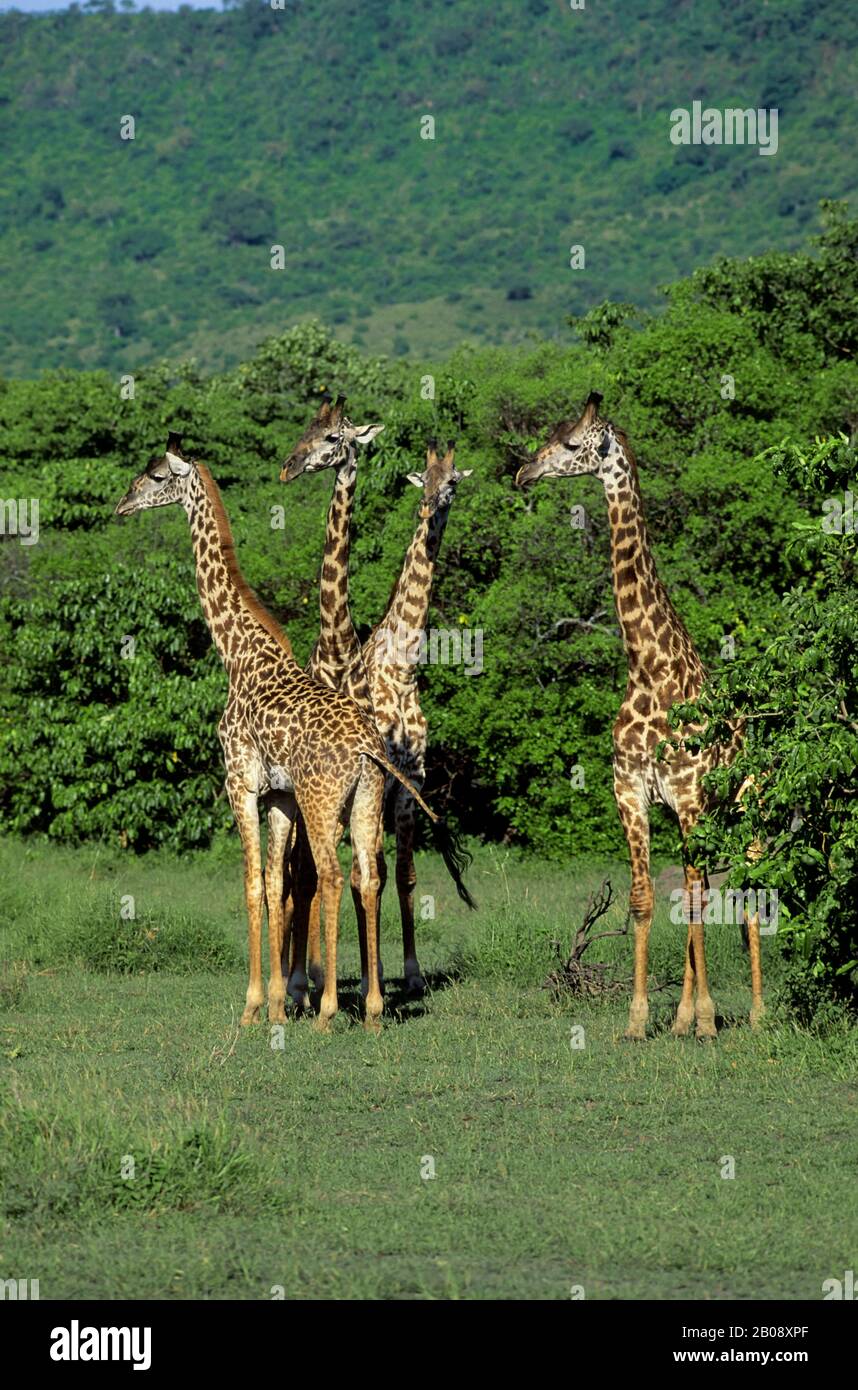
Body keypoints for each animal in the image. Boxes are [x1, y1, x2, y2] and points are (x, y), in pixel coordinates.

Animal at [114, 433, 439, 1032]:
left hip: (323, 799)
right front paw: (277, 1005)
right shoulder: (280, 797)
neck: (236, 654)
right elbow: (275, 884)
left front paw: (252, 1007)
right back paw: (373, 1008)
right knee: (368, 876)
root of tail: (369, 748)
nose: (123, 503)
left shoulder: (240, 783)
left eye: (155, 476)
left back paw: (331, 1009)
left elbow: (252, 885)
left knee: (333, 875)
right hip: (366, 801)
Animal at [281, 429, 474, 995]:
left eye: (452, 481)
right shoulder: (380, 778)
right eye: (423, 478)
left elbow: (398, 876)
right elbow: (360, 875)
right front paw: (371, 977)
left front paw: (405, 974)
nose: (429, 506)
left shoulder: (410, 784)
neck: (401, 667)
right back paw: (300, 976)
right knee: (298, 871)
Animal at [516, 393, 764, 1040]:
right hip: (698, 816)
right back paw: (681, 1019)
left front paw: (707, 1020)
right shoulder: (633, 792)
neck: (650, 670)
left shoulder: (690, 795)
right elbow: (645, 902)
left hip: (745, 807)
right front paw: (641, 1020)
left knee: (752, 888)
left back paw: (753, 1014)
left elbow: (698, 902)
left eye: (571, 443)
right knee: (706, 886)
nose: (524, 472)